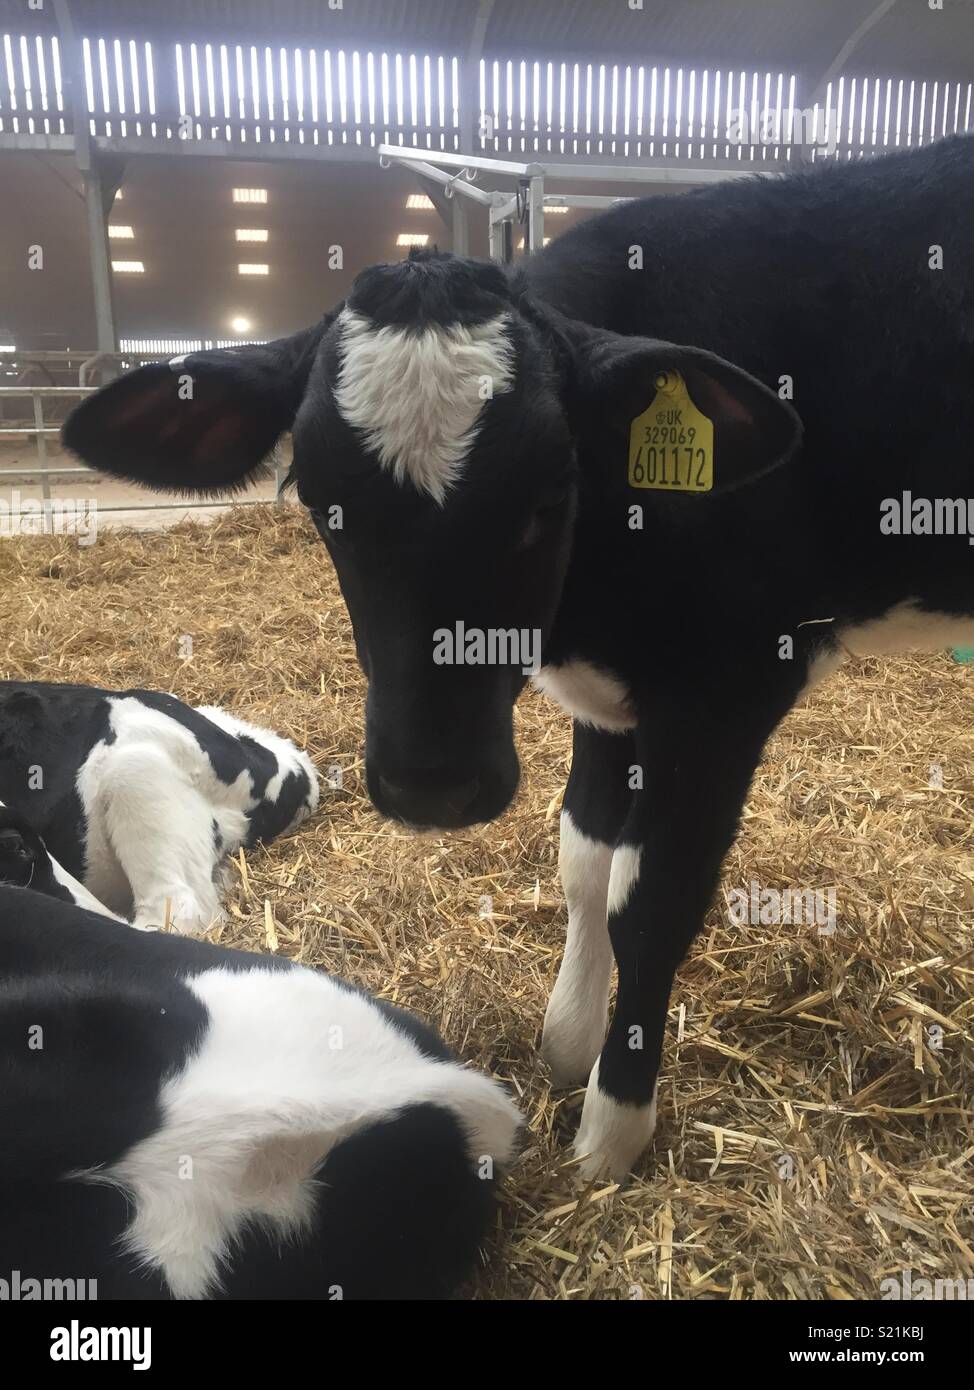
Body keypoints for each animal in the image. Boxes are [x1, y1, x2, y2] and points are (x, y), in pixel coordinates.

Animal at [62, 134, 974, 1178]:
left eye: (548, 497)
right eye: (323, 503)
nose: (432, 785)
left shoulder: (726, 692)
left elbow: (653, 902)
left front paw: (610, 1134)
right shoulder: (610, 699)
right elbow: (586, 862)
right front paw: (568, 1043)